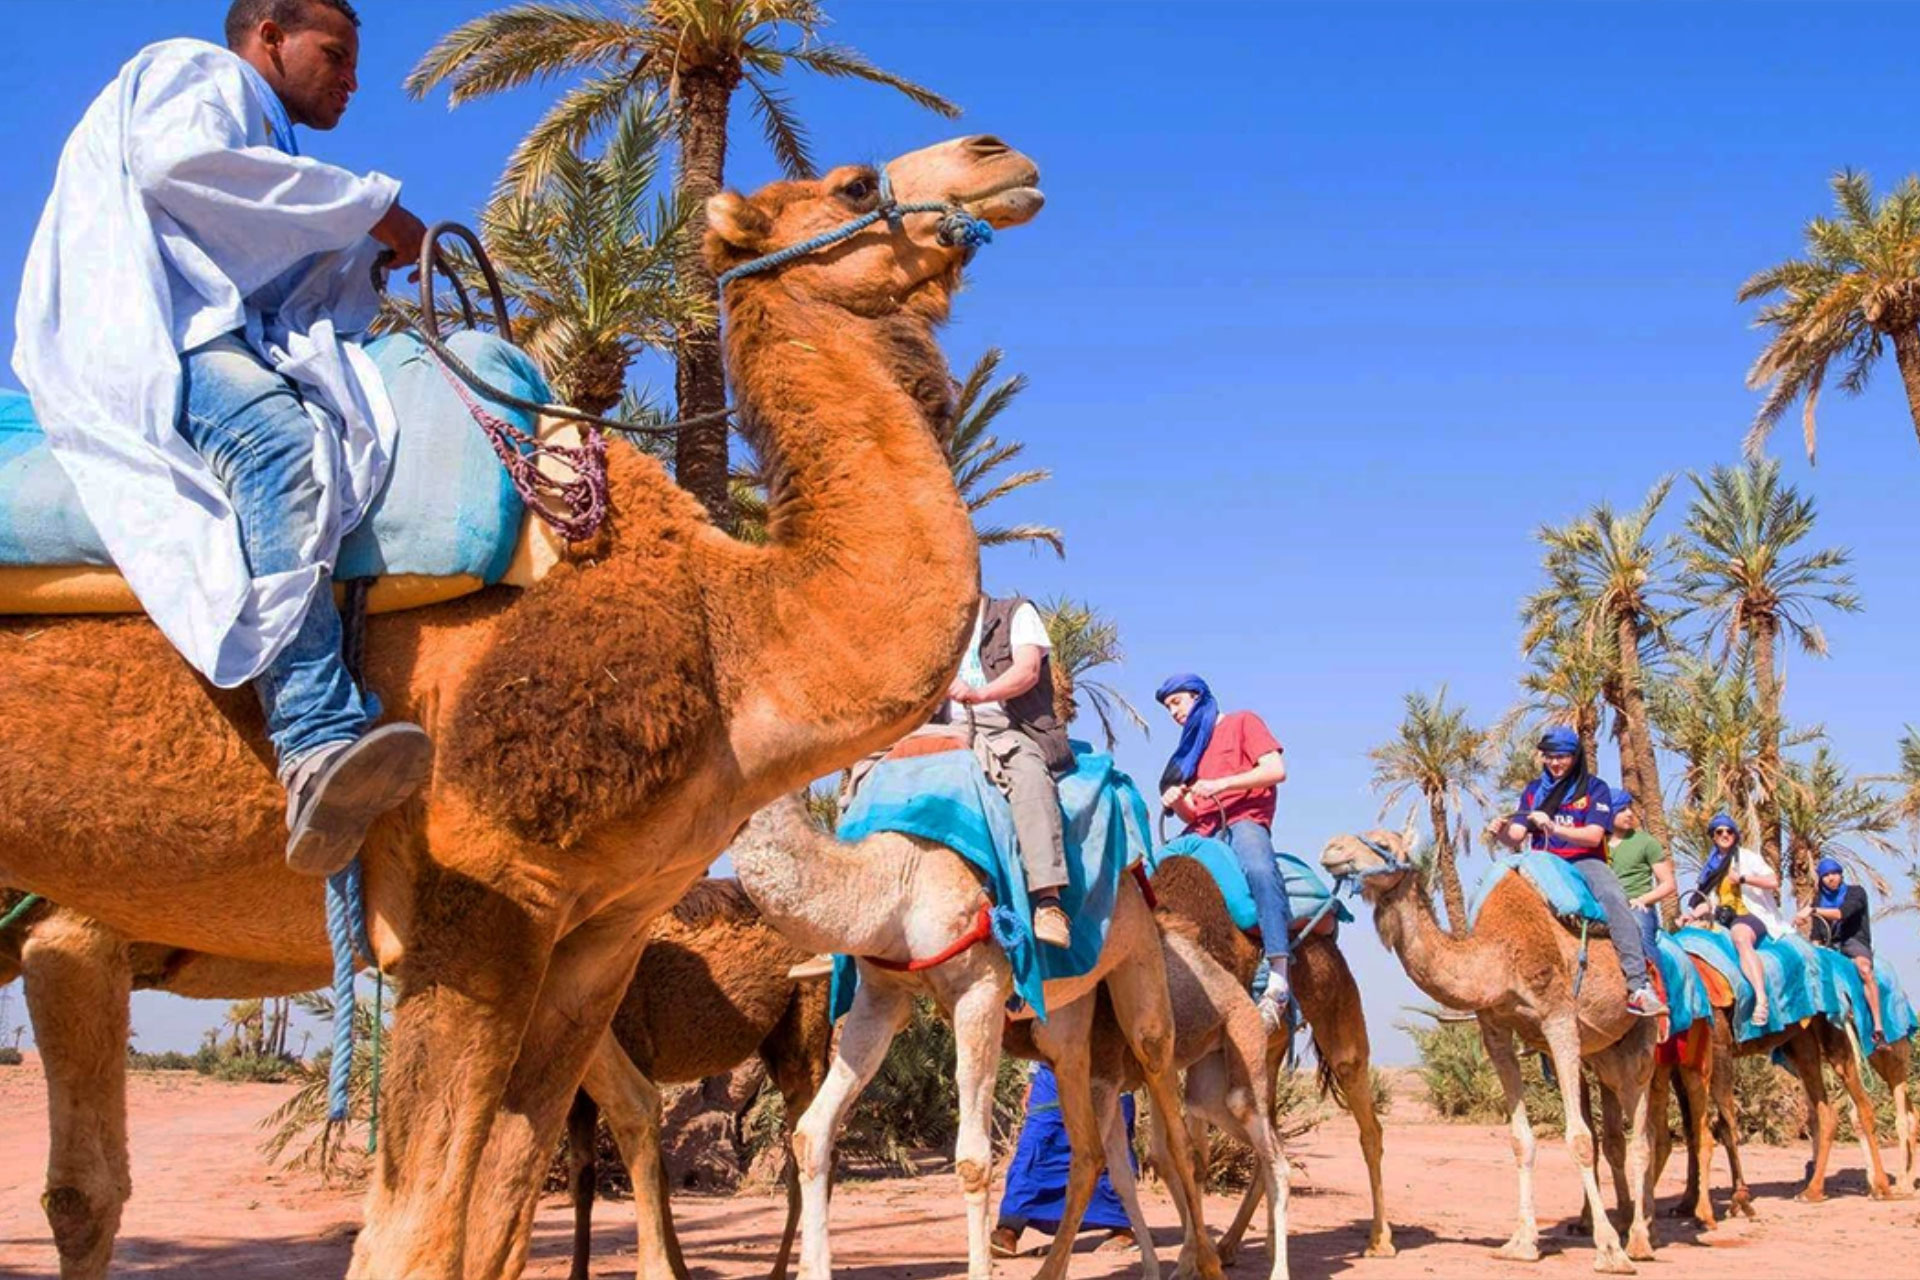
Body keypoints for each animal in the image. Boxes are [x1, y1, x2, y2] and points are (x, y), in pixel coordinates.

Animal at [565, 876, 832, 1280]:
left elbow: (654, 1171)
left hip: (807, 1028)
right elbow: (583, 1175)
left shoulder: (636, 1049)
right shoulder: (579, 1084)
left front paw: (675, 1271)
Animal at [725, 787, 1226, 1280]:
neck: (899, 883)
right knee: (1087, 1148)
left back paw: (1207, 1262)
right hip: (1067, 1021)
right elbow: (812, 1131)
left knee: (1174, 1124)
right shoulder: (880, 995)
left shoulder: (978, 990)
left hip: (1140, 962)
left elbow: (971, 1161)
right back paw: (1052, 1271)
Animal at [1322, 826, 1659, 1274]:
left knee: (1642, 1134)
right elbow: (1521, 1140)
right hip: (1604, 1049)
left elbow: (1579, 1139)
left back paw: (1638, 1239)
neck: (1496, 958)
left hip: (1643, 1039)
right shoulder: (1495, 1030)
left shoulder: (1559, 1019)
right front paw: (1522, 1243)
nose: (1332, 849)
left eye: (1386, 843)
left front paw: (1608, 1250)